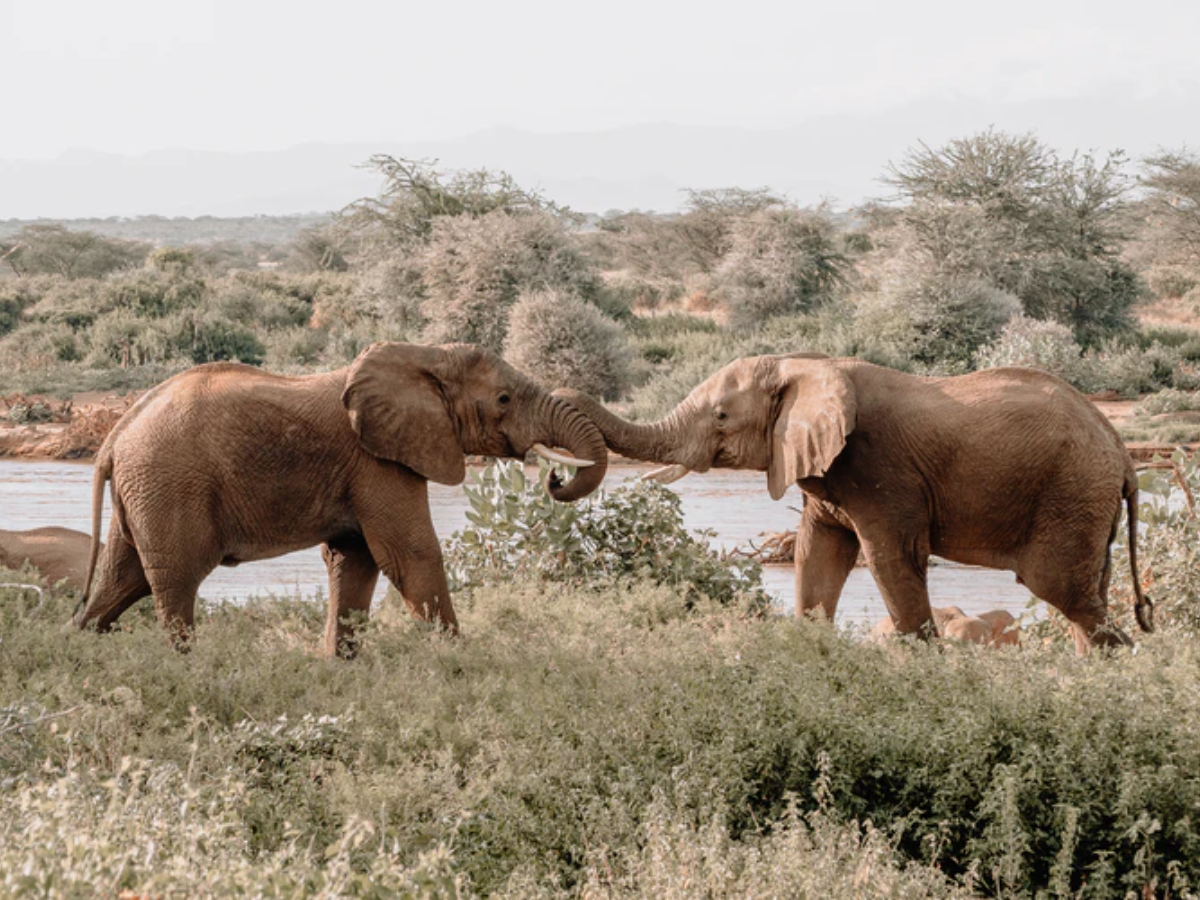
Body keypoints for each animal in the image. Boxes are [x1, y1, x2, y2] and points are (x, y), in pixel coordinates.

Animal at [75, 342, 608, 656]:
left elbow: (354, 560)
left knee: (123, 580)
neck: (424, 355)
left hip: (145, 489)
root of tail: (113, 437)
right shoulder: (378, 461)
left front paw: (339, 666)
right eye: (503, 400)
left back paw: (78, 651)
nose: (554, 477)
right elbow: (411, 555)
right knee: (174, 580)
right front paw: (462, 664)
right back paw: (187, 667)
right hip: (169, 484)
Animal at [556, 355, 1152, 653]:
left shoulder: (880, 471)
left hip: (1072, 494)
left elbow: (890, 562)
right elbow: (816, 556)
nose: (558, 479)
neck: (803, 363)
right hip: (1085, 503)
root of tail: (1122, 454)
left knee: (1065, 594)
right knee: (1084, 601)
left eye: (721, 416)